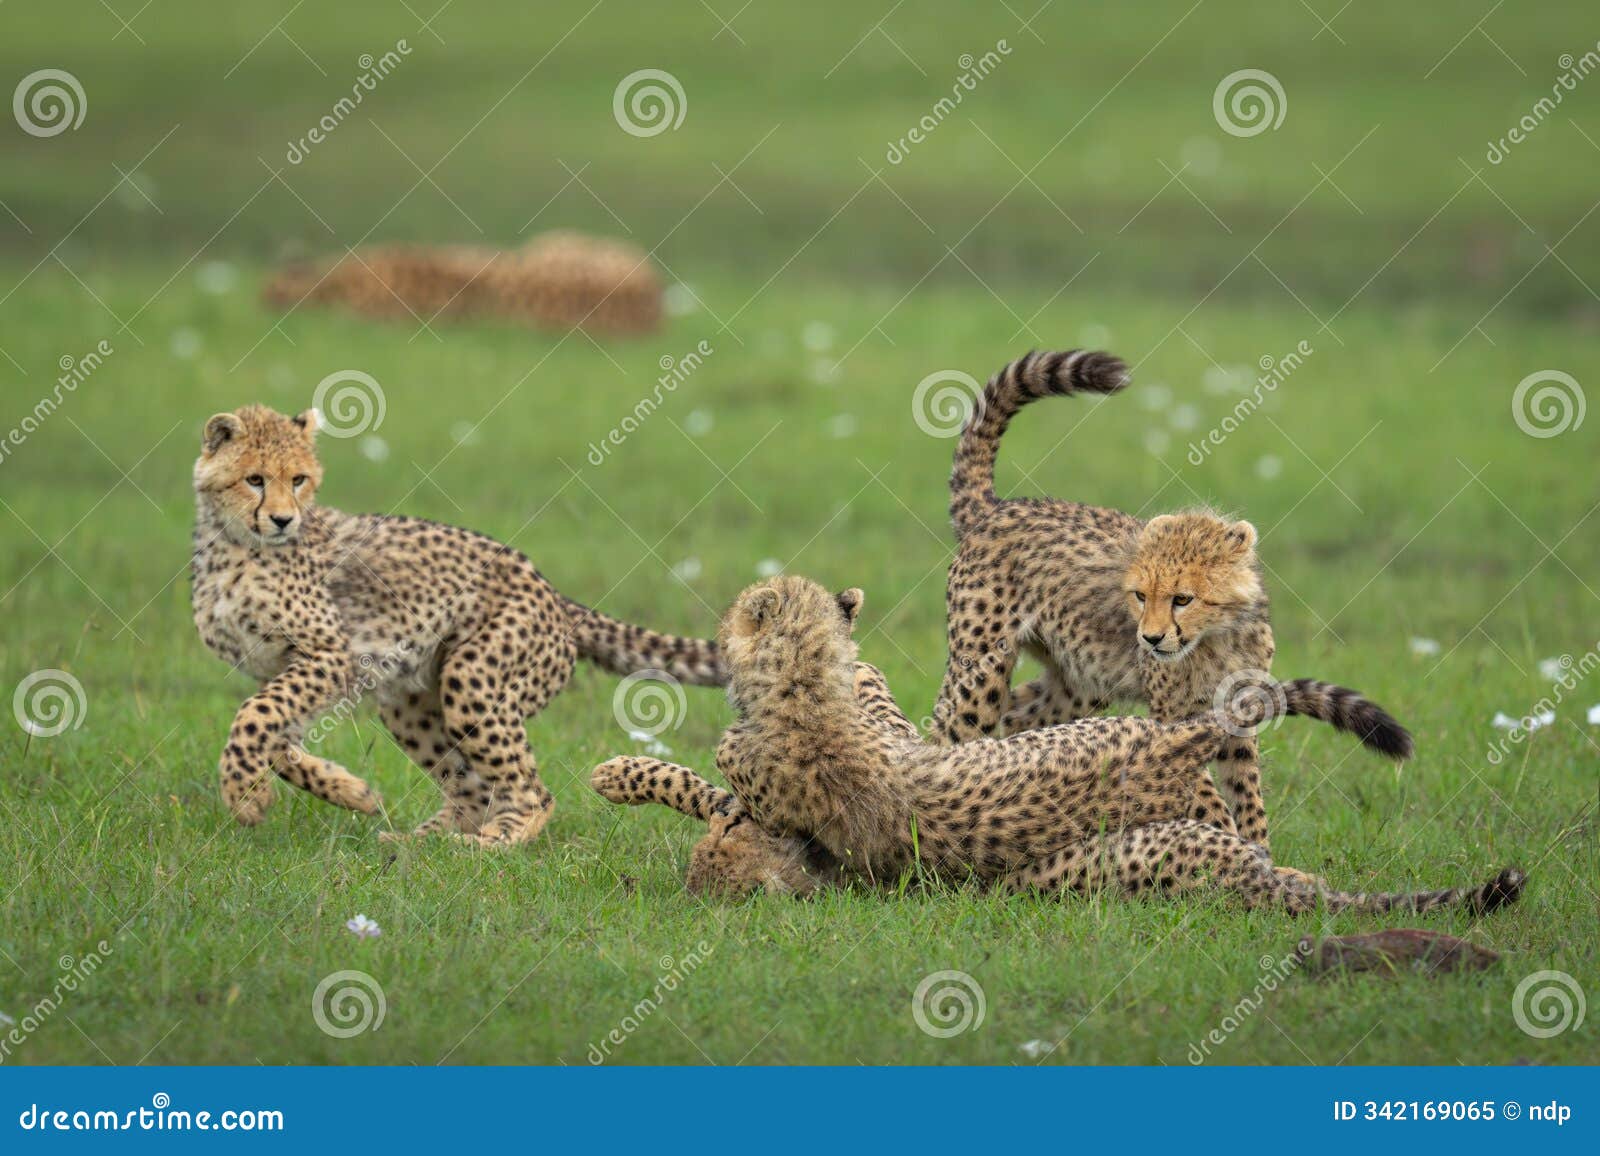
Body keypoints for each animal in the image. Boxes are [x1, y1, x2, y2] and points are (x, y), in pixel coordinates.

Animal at [190, 404, 720, 844]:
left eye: (298, 479)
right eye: (254, 479)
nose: (283, 519)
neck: (234, 545)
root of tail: (555, 594)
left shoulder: (329, 655)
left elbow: (253, 716)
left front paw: (242, 795)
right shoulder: (285, 668)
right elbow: (276, 737)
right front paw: (348, 790)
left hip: (472, 678)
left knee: (531, 792)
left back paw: (492, 843)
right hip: (410, 704)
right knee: (470, 785)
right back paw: (420, 842)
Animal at [933, 347, 1412, 853]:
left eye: (1183, 598)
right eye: (1140, 595)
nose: (1150, 639)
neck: (1214, 640)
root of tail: (999, 507)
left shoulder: (1236, 711)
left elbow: (1247, 796)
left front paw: (1257, 849)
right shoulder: (1172, 722)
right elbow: (1206, 794)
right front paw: (1227, 844)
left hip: (1079, 683)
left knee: (1014, 725)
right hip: (981, 669)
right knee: (951, 731)